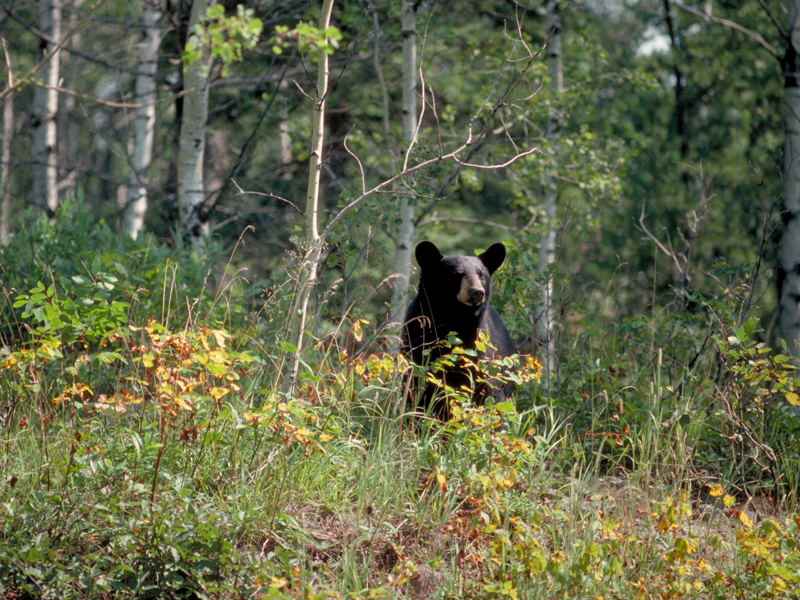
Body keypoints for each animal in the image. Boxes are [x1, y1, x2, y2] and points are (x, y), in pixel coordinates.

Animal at [401, 240, 515, 419]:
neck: (456, 320)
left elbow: (489, 393)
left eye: (480, 274)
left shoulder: (480, 351)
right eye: (457, 274)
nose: (477, 292)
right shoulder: (418, 340)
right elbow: (415, 391)